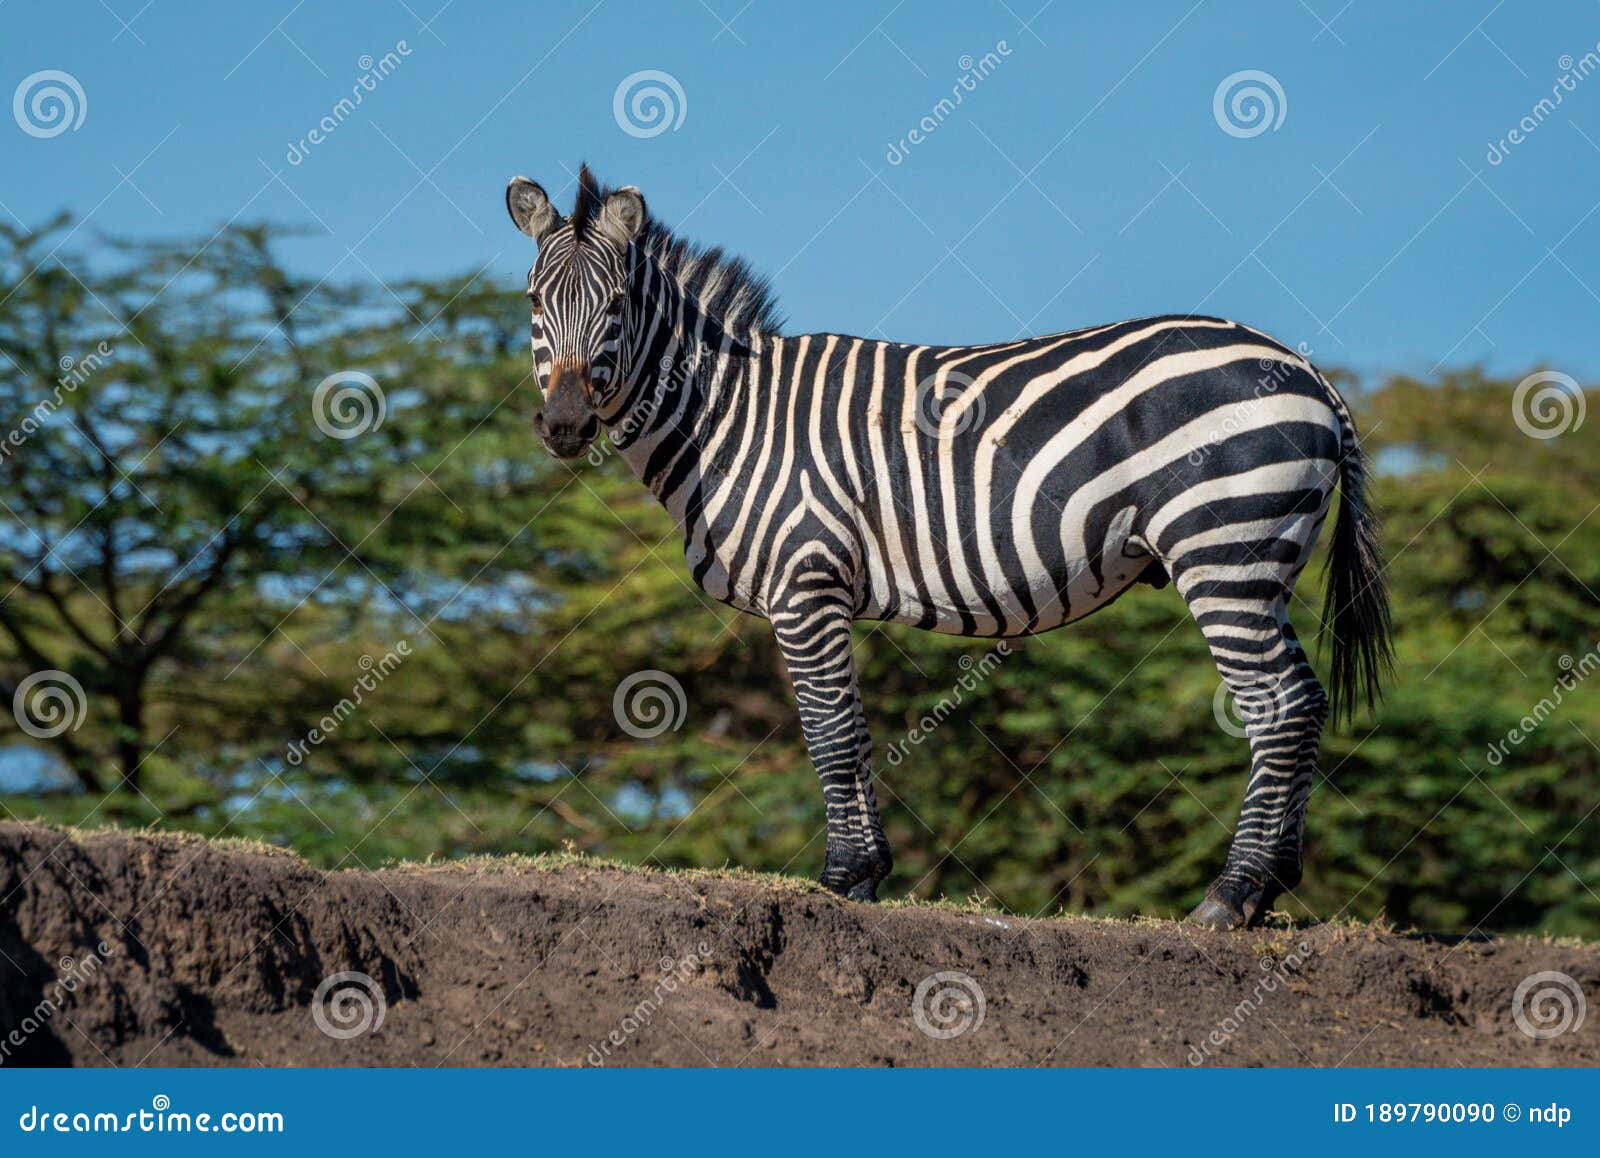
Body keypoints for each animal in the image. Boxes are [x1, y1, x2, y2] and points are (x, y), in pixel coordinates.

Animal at [505, 165, 1392, 930]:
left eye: (618, 302)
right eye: (532, 301)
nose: (566, 426)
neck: (727, 417)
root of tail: (1305, 369)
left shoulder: (806, 579)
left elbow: (831, 734)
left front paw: (843, 879)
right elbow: (855, 733)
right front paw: (868, 873)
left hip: (1223, 549)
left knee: (1279, 705)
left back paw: (1231, 894)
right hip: (1260, 562)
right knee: (1306, 701)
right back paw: (1270, 888)